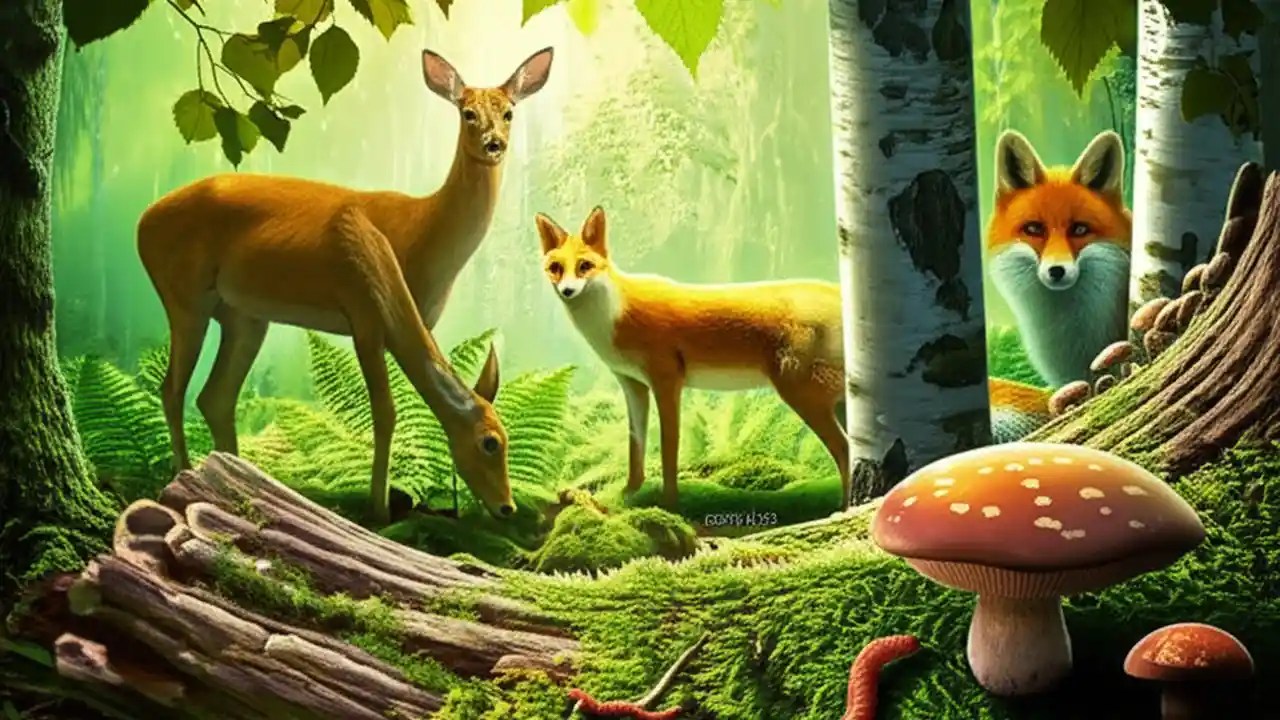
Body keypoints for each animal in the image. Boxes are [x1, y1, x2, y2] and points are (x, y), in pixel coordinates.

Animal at [136, 47, 554, 525]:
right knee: (173, 390)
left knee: (215, 396)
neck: (423, 228)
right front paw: (381, 510)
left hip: (244, 316)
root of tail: (142, 222)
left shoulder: (421, 318)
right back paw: (183, 474)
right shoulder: (365, 319)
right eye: (467, 112)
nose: (507, 506)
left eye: (509, 112)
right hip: (184, 296)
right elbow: (386, 412)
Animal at [534, 207, 851, 509]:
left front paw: (670, 504)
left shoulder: (667, 380)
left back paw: (845, 507)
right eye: (555, 268)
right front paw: (627, 495)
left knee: (845, 450)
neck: (616, 315)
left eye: (585, 266)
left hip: (801, 394)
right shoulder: (633, 385)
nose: (567, 291)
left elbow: (668, 448)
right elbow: (636, 446)